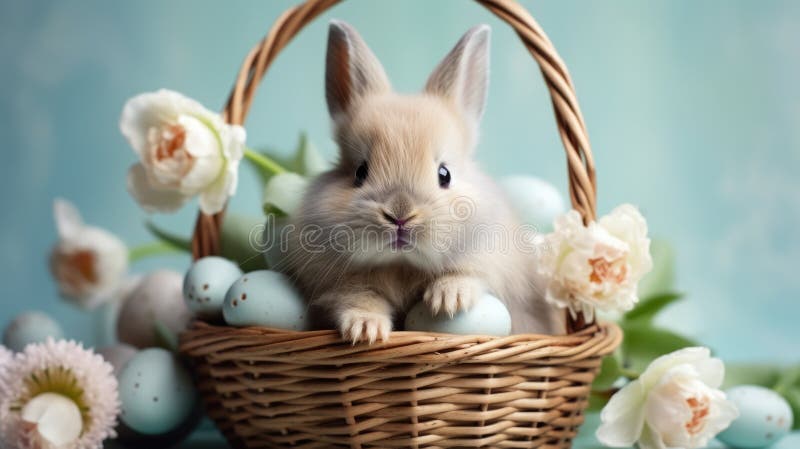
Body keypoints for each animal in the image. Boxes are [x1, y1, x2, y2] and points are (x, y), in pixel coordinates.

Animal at [282, 20, 565, 344]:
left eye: (445, 174)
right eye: (360, 172)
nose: (400, 215)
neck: (401, 265)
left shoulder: (489, 261)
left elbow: (468, 275)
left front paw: (447, 301)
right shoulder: (341, 285)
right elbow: (359, 300)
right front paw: (366, 331)